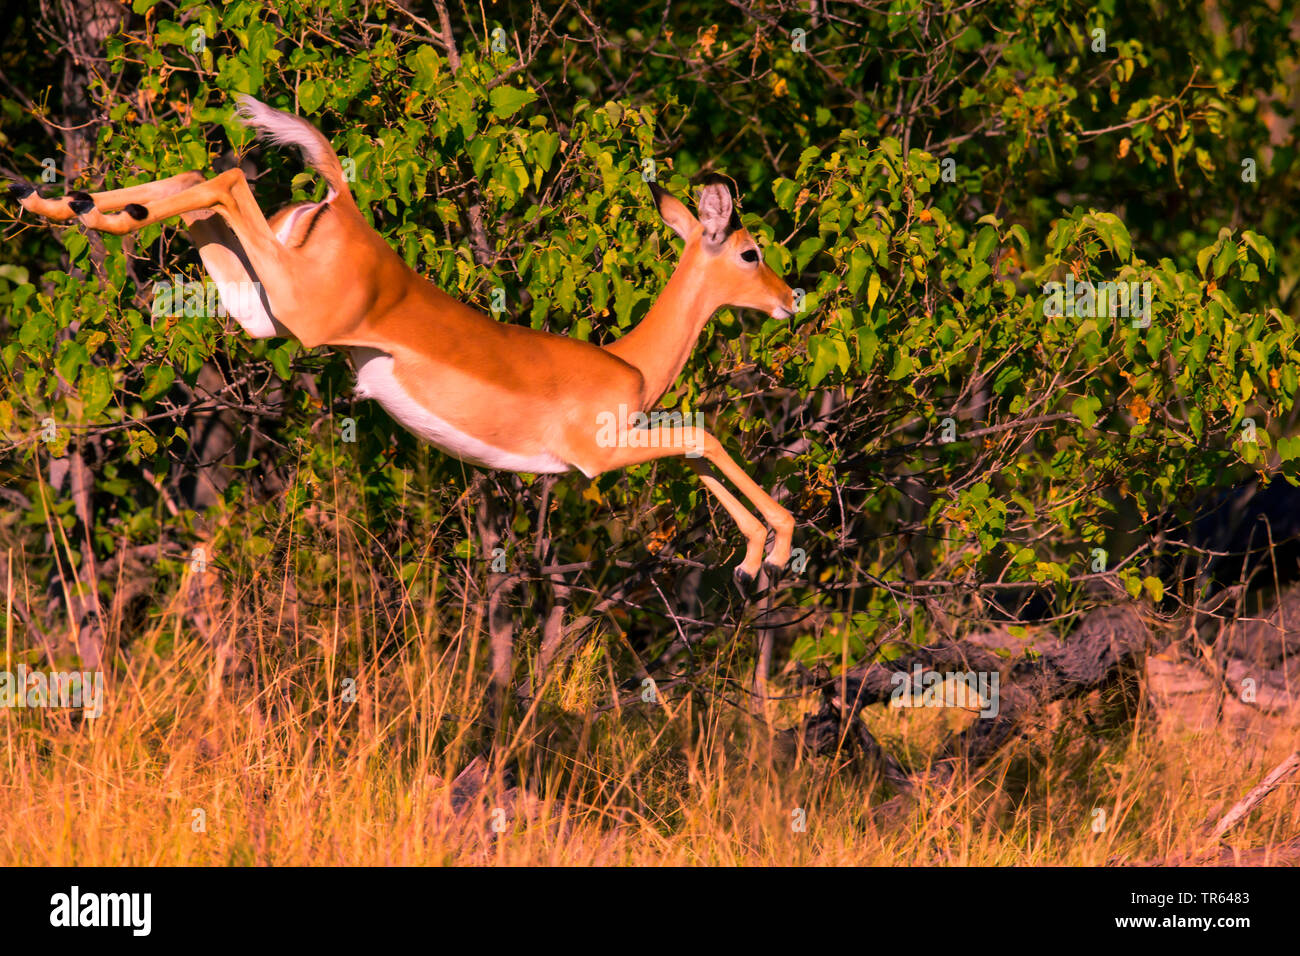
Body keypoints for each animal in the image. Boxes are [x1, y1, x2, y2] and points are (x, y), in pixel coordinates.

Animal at [9, 95, 798, 591]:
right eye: (752, 251)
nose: (791, 300)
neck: (628, 363)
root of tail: (342, 204)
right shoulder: (596, 456)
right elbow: (702, 438)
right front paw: (772, 555)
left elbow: (696, 457)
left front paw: (749, 567)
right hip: (296, 310)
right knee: (227, 175)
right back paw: (70, 203)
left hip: (259, 311)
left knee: (194, 173)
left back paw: (56, 199)